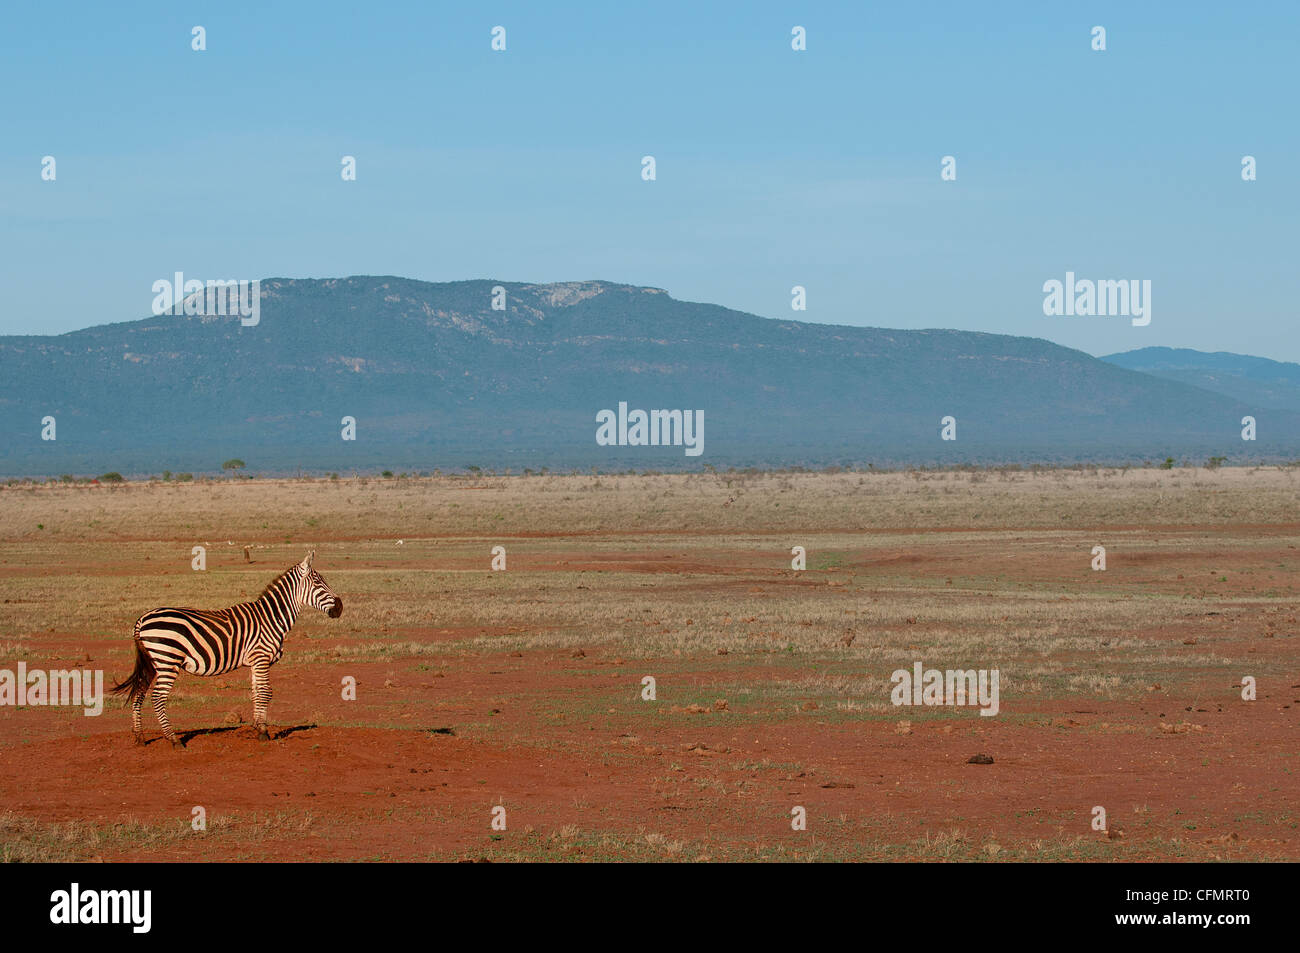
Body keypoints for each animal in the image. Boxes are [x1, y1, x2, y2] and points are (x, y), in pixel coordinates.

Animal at [112, 550, 343, 748]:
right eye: (318, 582)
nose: (340, 608)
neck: (271, 617)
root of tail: (142, 619)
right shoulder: (261, 657)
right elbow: (266, 692)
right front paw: (264, 733)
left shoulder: (256, 662)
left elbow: (256, 692)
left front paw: (257, 727)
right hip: (168, 661)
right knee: (158, 698)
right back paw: (174, 740)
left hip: (153, 663)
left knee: (139, 693)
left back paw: (140, 737)